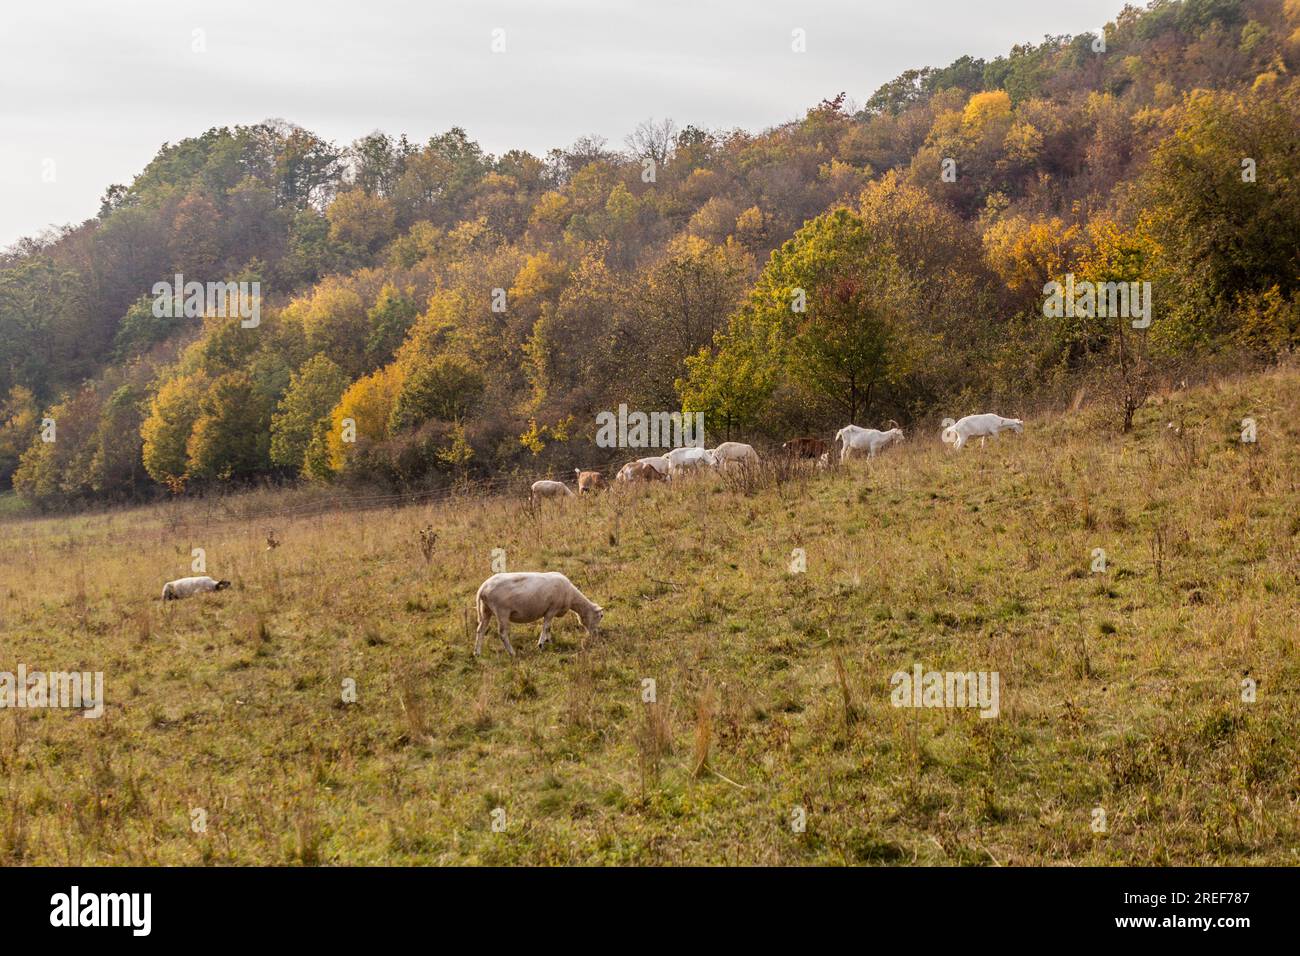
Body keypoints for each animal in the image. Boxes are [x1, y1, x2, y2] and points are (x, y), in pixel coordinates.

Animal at [474, 571, 604, 657]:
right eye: (600, 616)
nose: (595, 635)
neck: (572, 597)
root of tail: (483, 588)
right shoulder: (551, 609)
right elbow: (546, 627)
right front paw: (541, 644)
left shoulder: (550, 611)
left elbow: (548, 628)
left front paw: (549, 641)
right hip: (502, 612)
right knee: (502, 634)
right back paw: (512, 653)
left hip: (485, 610)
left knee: (481, 630)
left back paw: (477, 652)